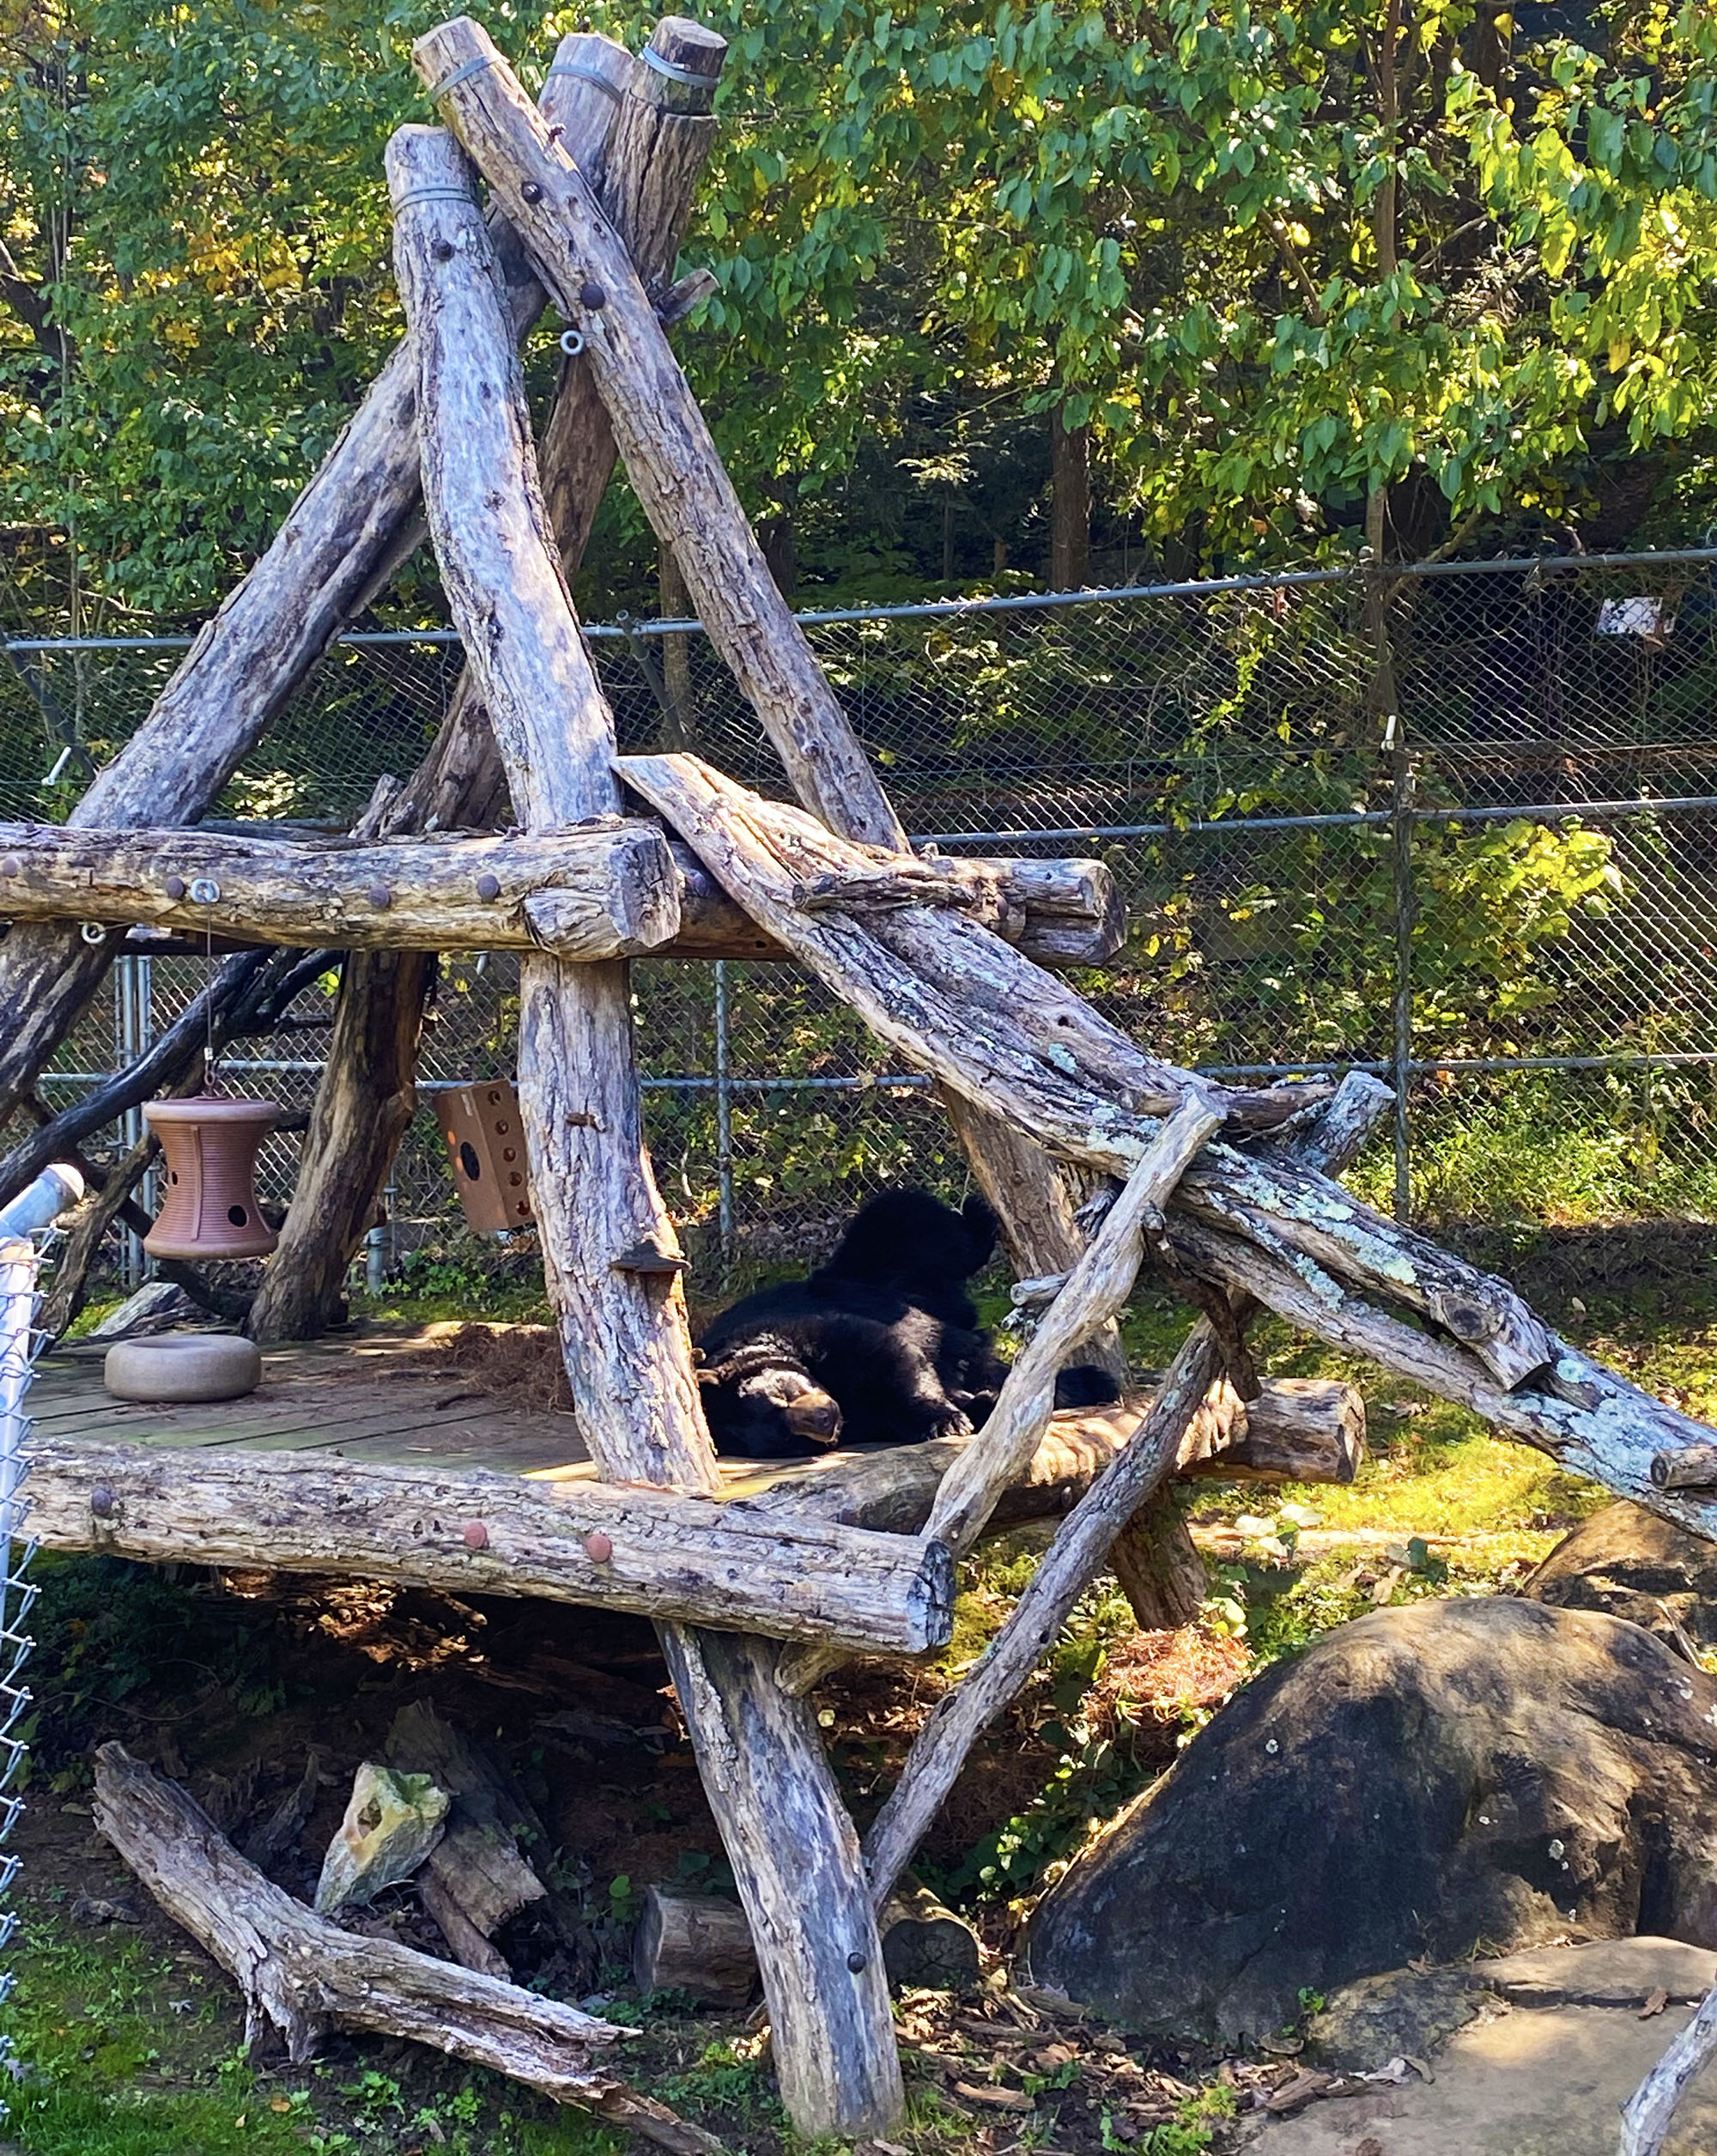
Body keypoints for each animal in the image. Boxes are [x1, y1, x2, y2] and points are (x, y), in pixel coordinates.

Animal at [693, 1186, 1121, 1459]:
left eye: (782, 1393)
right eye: (787, 1437)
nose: (824, 1419)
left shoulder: (804, 1327)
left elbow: (885, 1354)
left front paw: (945, 1420)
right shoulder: (860, 1418)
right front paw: (971, 1406)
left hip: (880, 1267)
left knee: (907, 1217)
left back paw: (978, 1214)